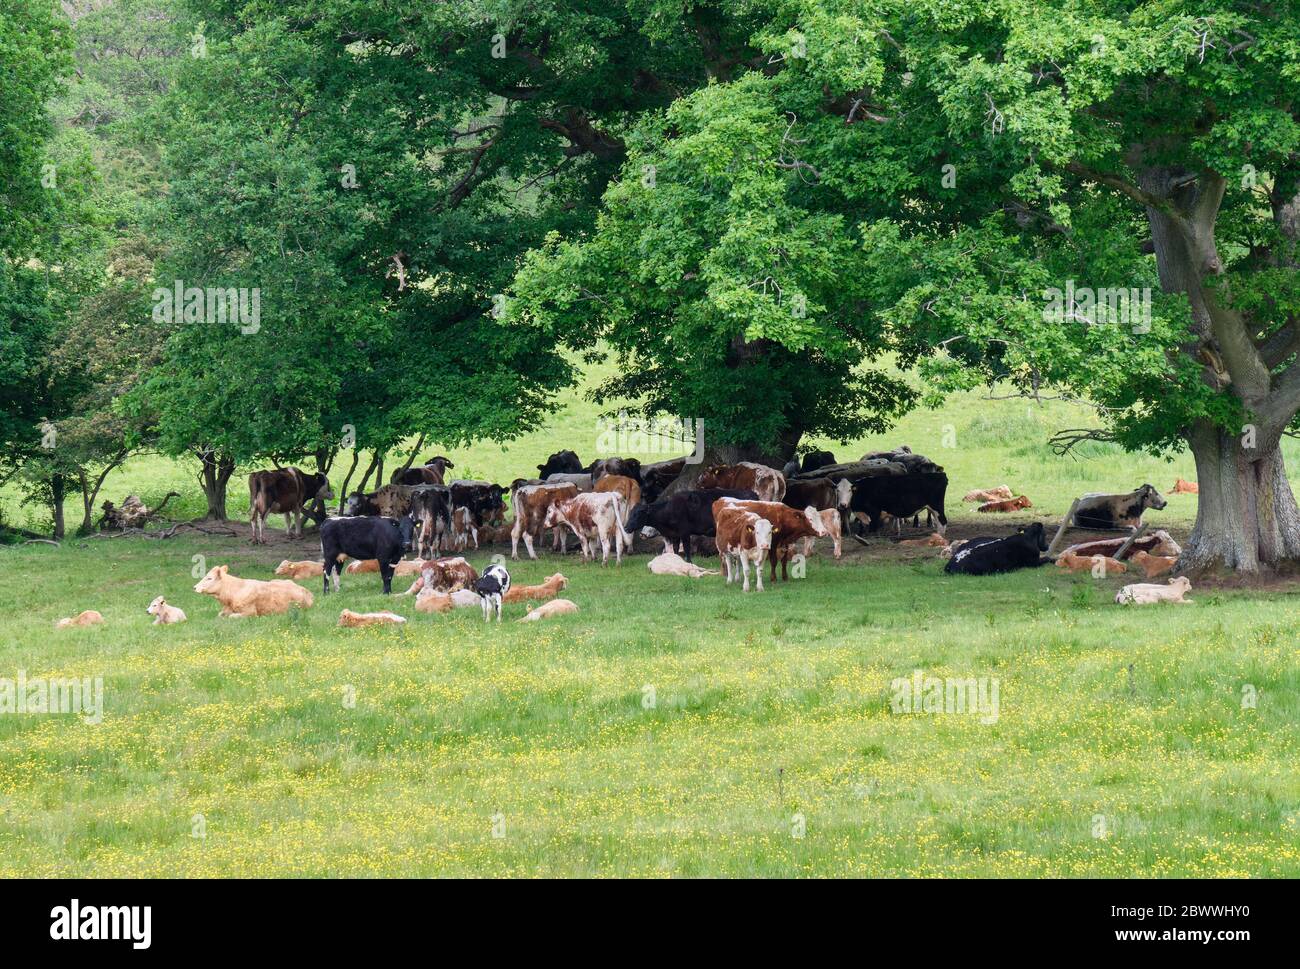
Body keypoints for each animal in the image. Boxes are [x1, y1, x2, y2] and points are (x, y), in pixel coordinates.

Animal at [625, 488, 760, 562]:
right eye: (630, 513)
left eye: (638, 514)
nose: (626, 527)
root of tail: (753, 493)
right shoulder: (675, 535)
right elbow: (675, 549)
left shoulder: (685, 532)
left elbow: (687, 548)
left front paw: (688, 562)